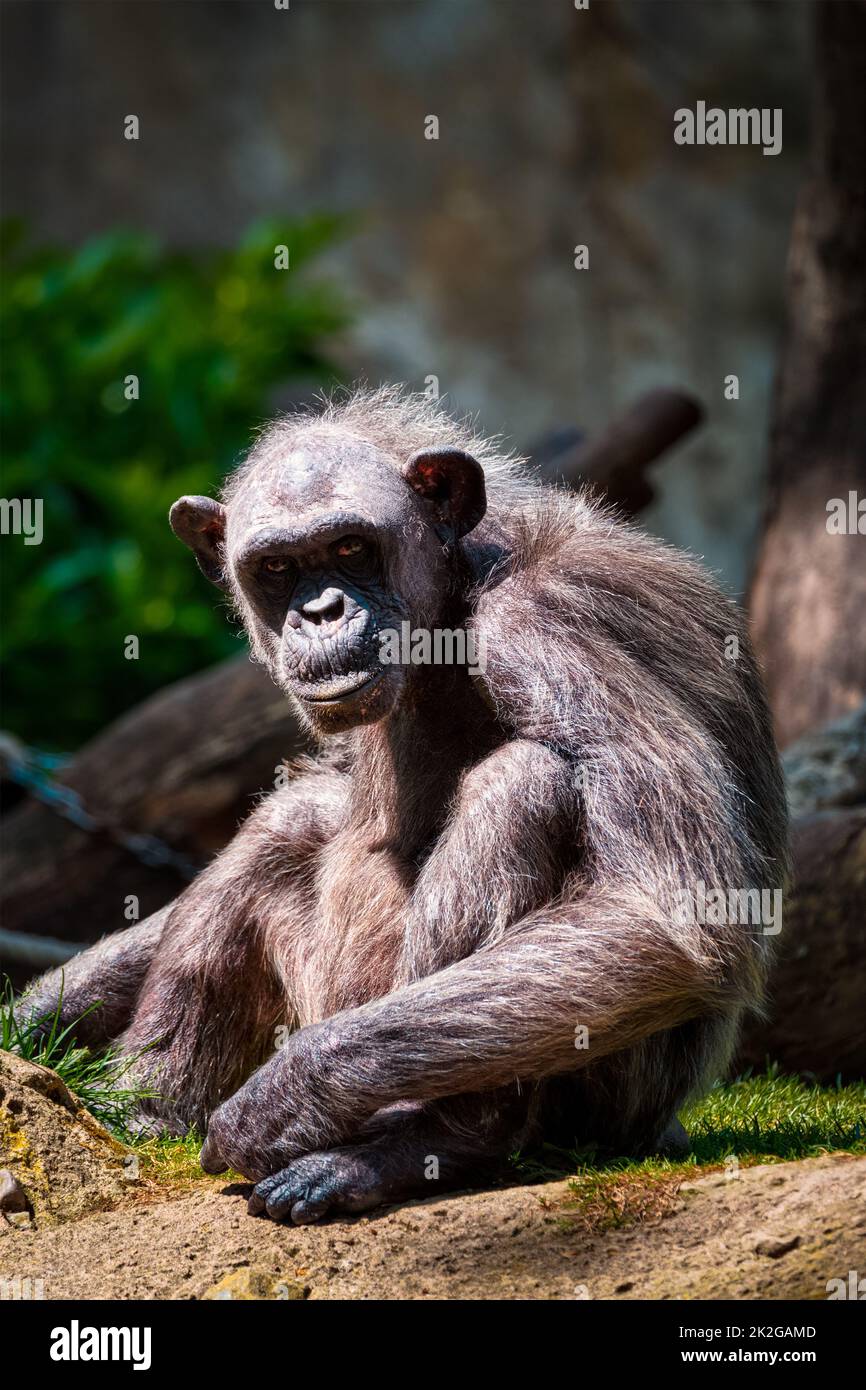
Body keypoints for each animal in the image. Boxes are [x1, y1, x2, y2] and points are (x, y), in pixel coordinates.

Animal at [17, 386, 788, 1224]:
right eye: (278, 567)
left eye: (353, 548)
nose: (321, 609)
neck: (460, 593)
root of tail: (669, 1125)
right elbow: (324, 793)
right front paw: (41, 1011)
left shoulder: (550, 628)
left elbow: (667, 904)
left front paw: (283, 1096)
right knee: (288, 823)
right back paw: (141, 1114)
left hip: (614, 1104)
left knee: (525, 782)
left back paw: (426, 1144)